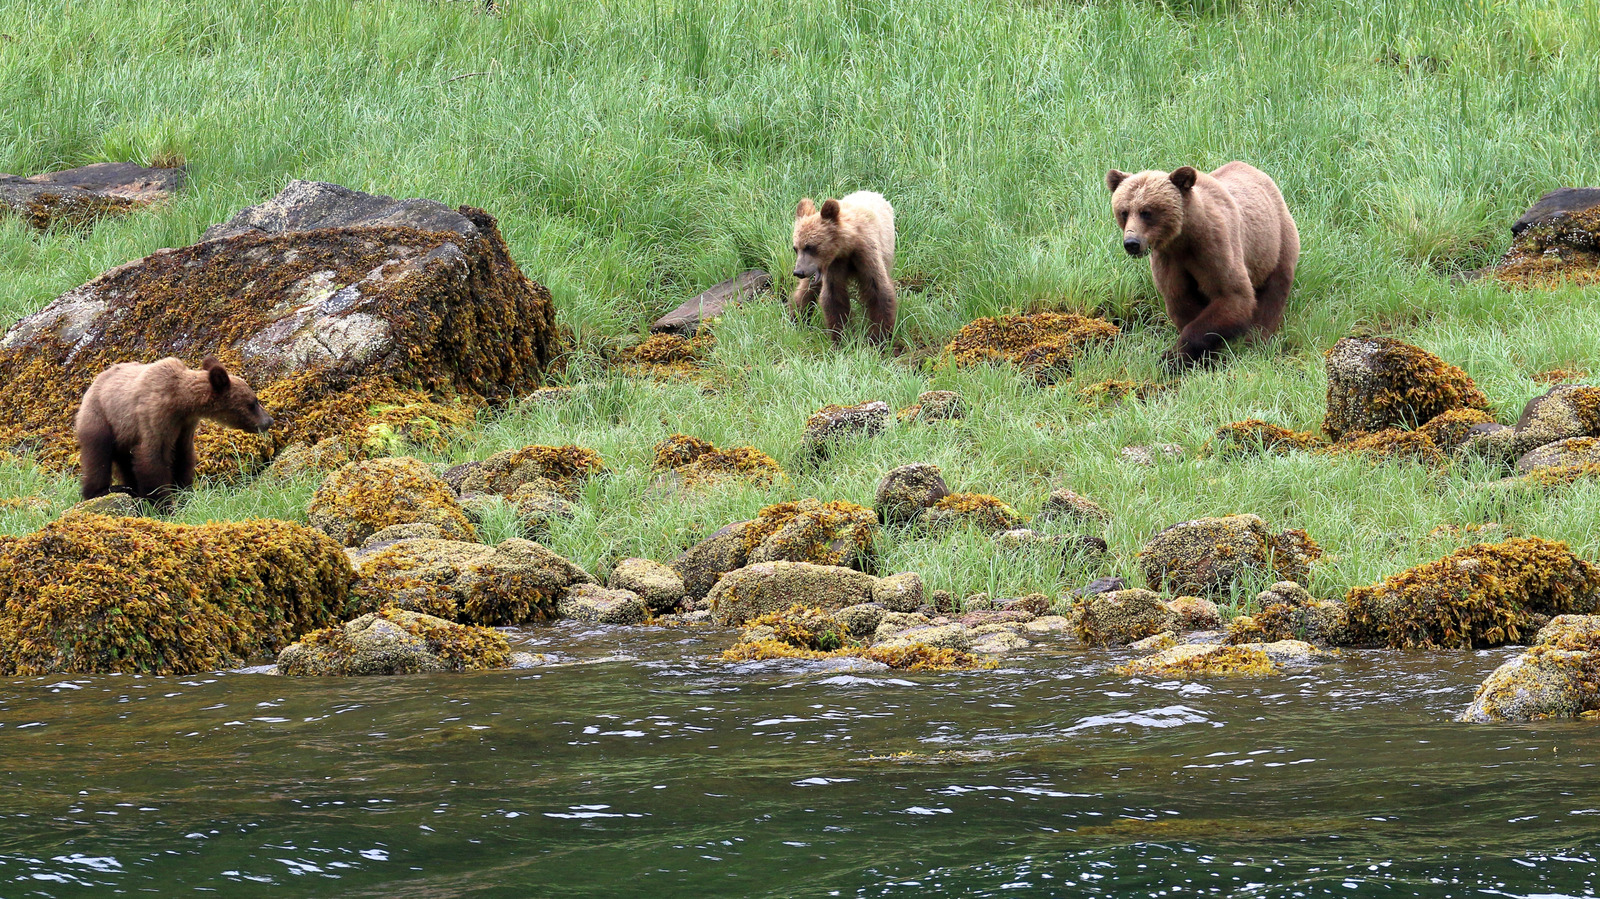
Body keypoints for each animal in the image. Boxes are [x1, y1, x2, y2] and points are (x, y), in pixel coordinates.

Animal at [75, 356, 273, 506]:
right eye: (253, 402)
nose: (268, 421)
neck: (180, 401)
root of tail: (92, 385)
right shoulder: (154, 415)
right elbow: (151, 459)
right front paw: (163, 504)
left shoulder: (184, 426)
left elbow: (183, 457)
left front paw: (184, 492)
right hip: (101, 419)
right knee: (98, 456)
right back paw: (103, 490)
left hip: (123, 436)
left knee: (124, 464)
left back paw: (130, 489)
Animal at [791, 191, 897, 345]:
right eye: (795, 248)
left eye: (810, 247)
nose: (798, 272)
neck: (847, 246)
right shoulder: (835, 264)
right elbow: (834, 296)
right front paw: (842, 338)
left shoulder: (866, 255)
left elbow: (878, 290)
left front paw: (878, 338)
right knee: (806, 290)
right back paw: (797, 318)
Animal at [1106, 162, 1299, 369]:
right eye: (1124, 212)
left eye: (1146, 212)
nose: (1132, 243)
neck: (1184, 239)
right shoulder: (1169, 259)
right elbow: (1181, 300)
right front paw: (1196, 357)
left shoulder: (1214, 248)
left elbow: (1233, 296)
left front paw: (1172, 358)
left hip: (1275, 242)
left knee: (1273, 292)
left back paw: (1256, 339)